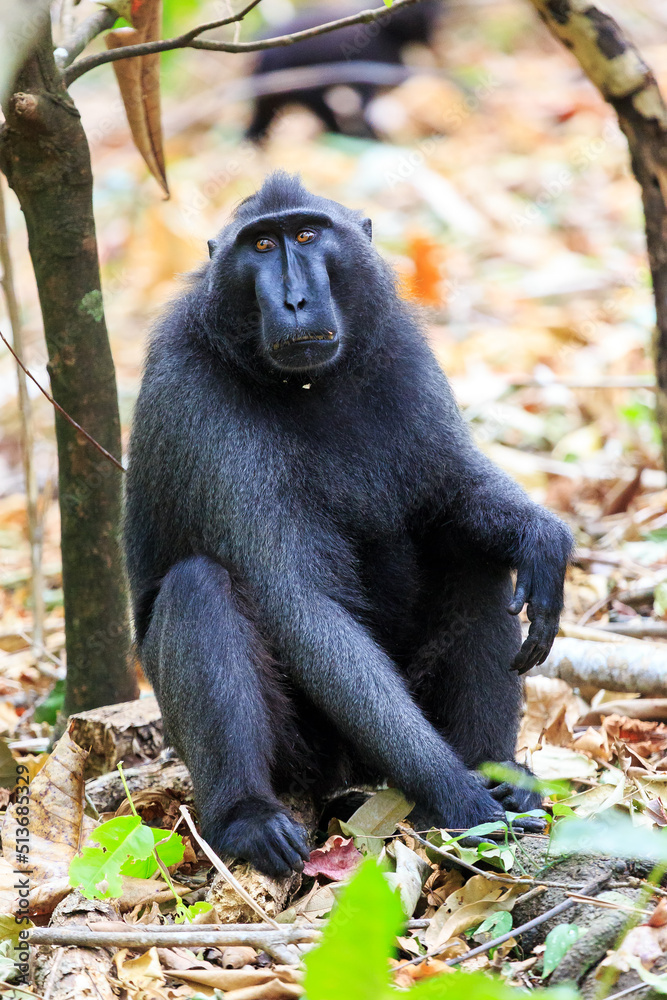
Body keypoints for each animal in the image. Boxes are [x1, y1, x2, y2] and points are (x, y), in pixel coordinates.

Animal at [125, 173, 573, 877]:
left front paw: (540, 536)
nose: (295, 299)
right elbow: (302, 604)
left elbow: (450, 497)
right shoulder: (194, 394)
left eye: (308, 234)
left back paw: (495, 771)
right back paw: (245, 816)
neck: (309, 385)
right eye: (261, 245)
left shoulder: (402, 352)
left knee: (473, 555)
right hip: (308, 752)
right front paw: (451, 789)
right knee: (199, 587)